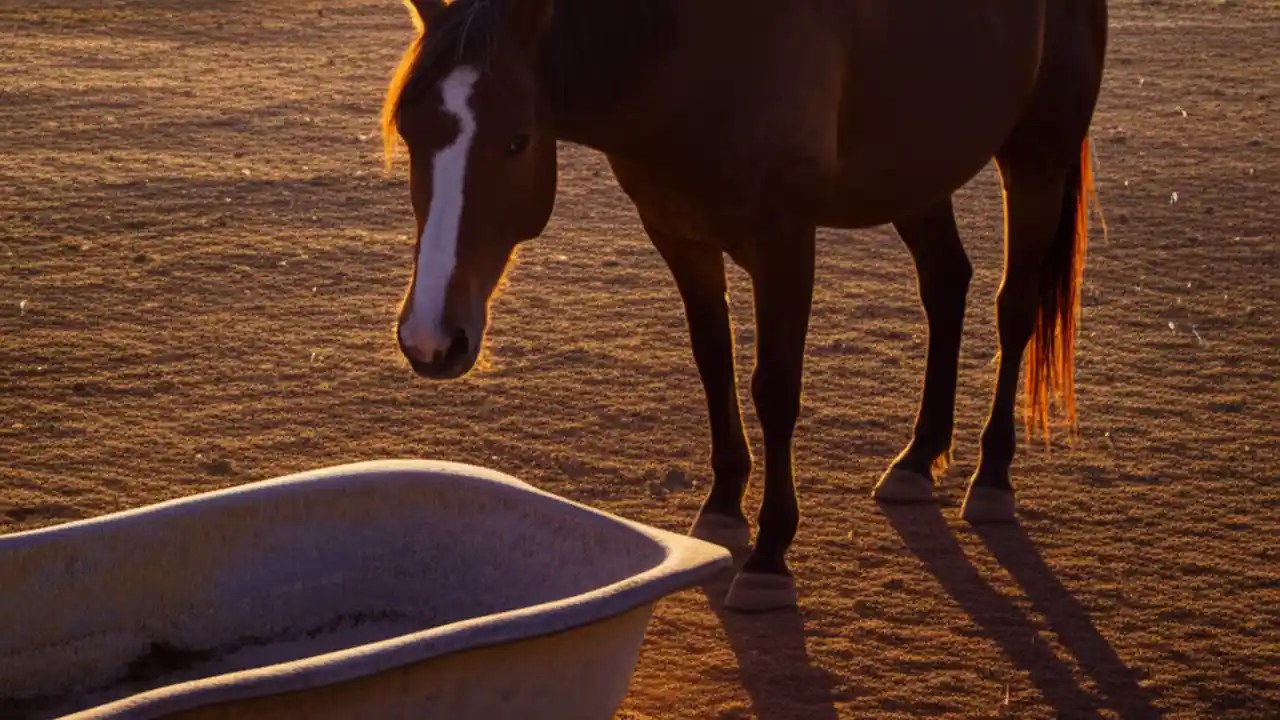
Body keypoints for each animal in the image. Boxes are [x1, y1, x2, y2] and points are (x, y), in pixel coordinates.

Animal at [382, 0, 1107, 611]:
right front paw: (725, 506)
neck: (697, 62)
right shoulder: (679, 237)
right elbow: (714, 361)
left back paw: (992, 475)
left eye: (517, 141)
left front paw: (769, 556)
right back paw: (917, 456)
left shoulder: (785, 244)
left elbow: (775, 390)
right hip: (917, 173)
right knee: (946, 285)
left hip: (1036, 159)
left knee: (1013, 310)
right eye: (410, 136)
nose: (431, 338)